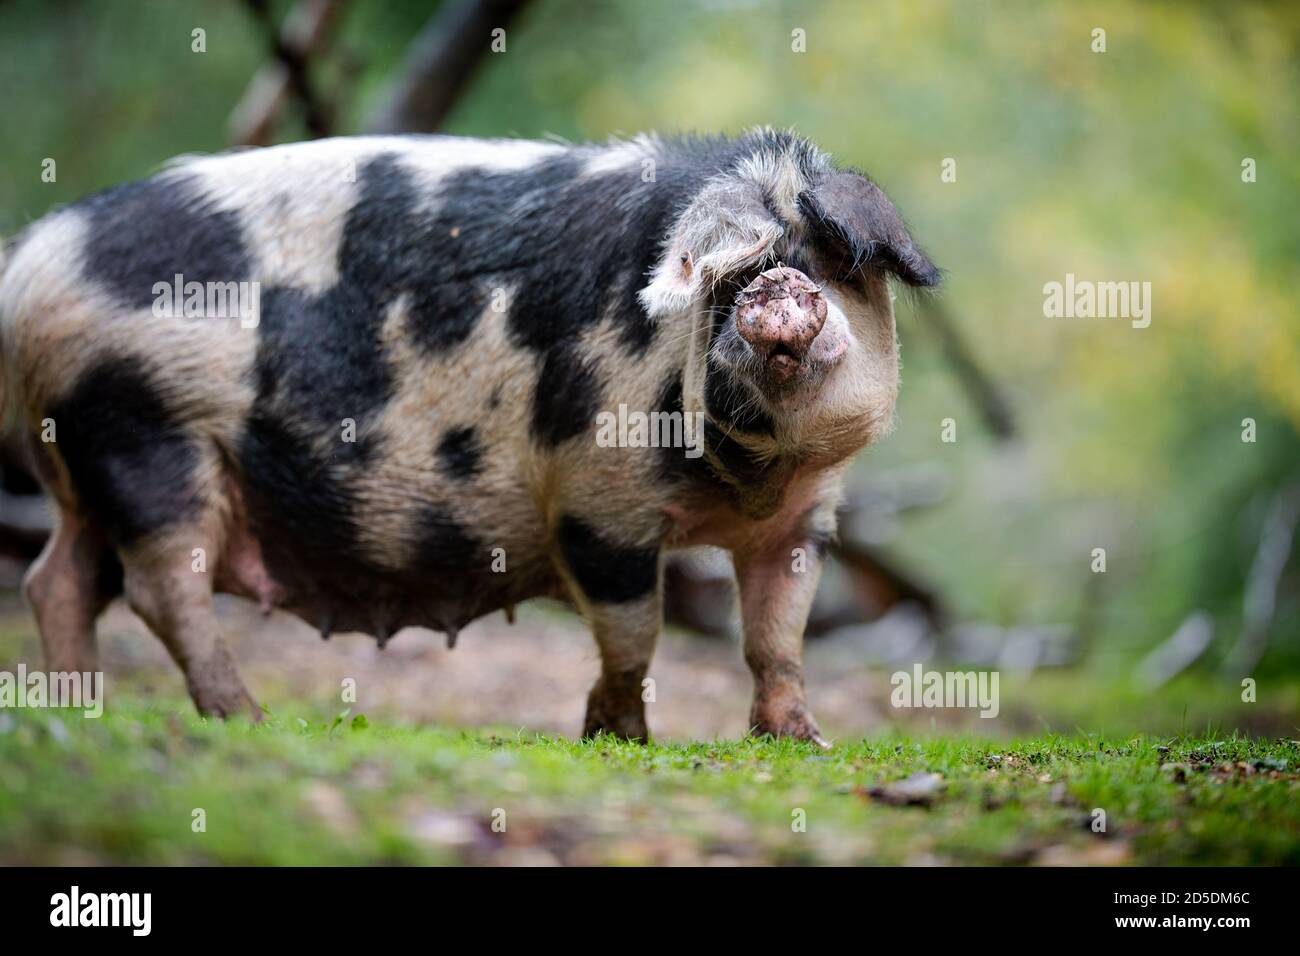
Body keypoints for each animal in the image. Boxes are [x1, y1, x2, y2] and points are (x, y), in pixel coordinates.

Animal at [0, 129, 938, 744]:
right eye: (734, 274)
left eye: (833, 264)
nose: (777, 287)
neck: (746, 479)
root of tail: (31, 261)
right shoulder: (593, 501)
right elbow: (636, 629)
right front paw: (618, 736)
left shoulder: (806, 519)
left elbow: (776, 634)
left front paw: (798, 739)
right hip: (142, 433)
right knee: (160, 587)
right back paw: (245, 717)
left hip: (84, 463)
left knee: (57, 580)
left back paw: (81, 706)